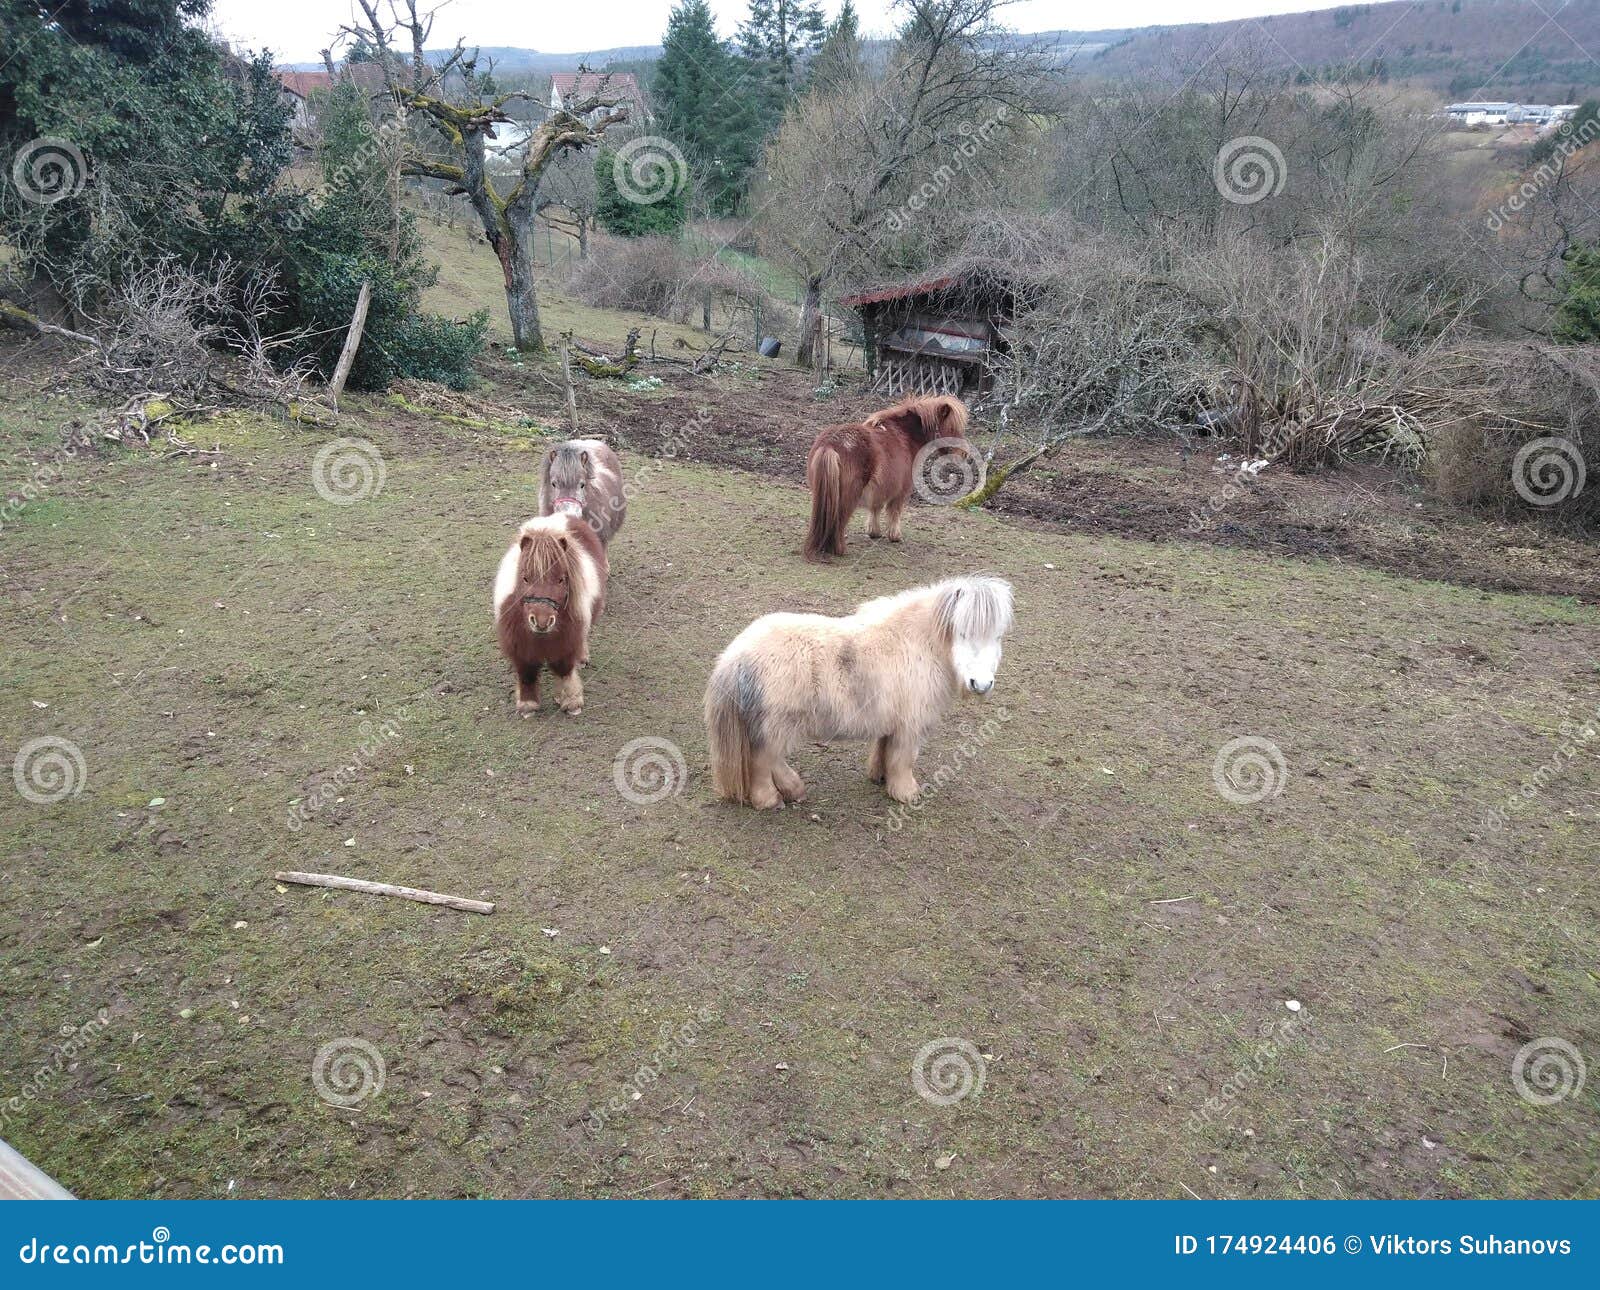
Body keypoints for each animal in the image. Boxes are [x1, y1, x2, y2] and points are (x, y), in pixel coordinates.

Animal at [492, 513, 608, 716]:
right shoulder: (519, 647)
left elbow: (564, 670)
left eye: (562, 579)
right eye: (525, 578)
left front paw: (571, 703)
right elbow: (526, 674)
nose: (541, 621)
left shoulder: (566, 643)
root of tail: (566, 515)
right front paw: (528, 705)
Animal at [704, 573, 1013, 809]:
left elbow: (885, 751)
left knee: (772, 760)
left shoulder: (892, 724)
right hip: (775, 726)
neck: (920, 644)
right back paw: (771, 800)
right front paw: (907, 794)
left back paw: (795, 791)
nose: (980, 684)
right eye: (962, 633)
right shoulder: (910, 727)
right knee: (762, 761)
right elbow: (904, 759)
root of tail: (734, 656)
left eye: (998, 636)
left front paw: (880, 778)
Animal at [802, 394, 969, 561]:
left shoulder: (881, 486)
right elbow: (894, 510)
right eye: (952, 429)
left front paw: (874, 532)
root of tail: (830, 445)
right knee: (839, 521)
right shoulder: (902, 490)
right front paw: (895, 536)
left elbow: (875, 507)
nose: (964, 454)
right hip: (848, 497)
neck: (905, 435)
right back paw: (838, 549)